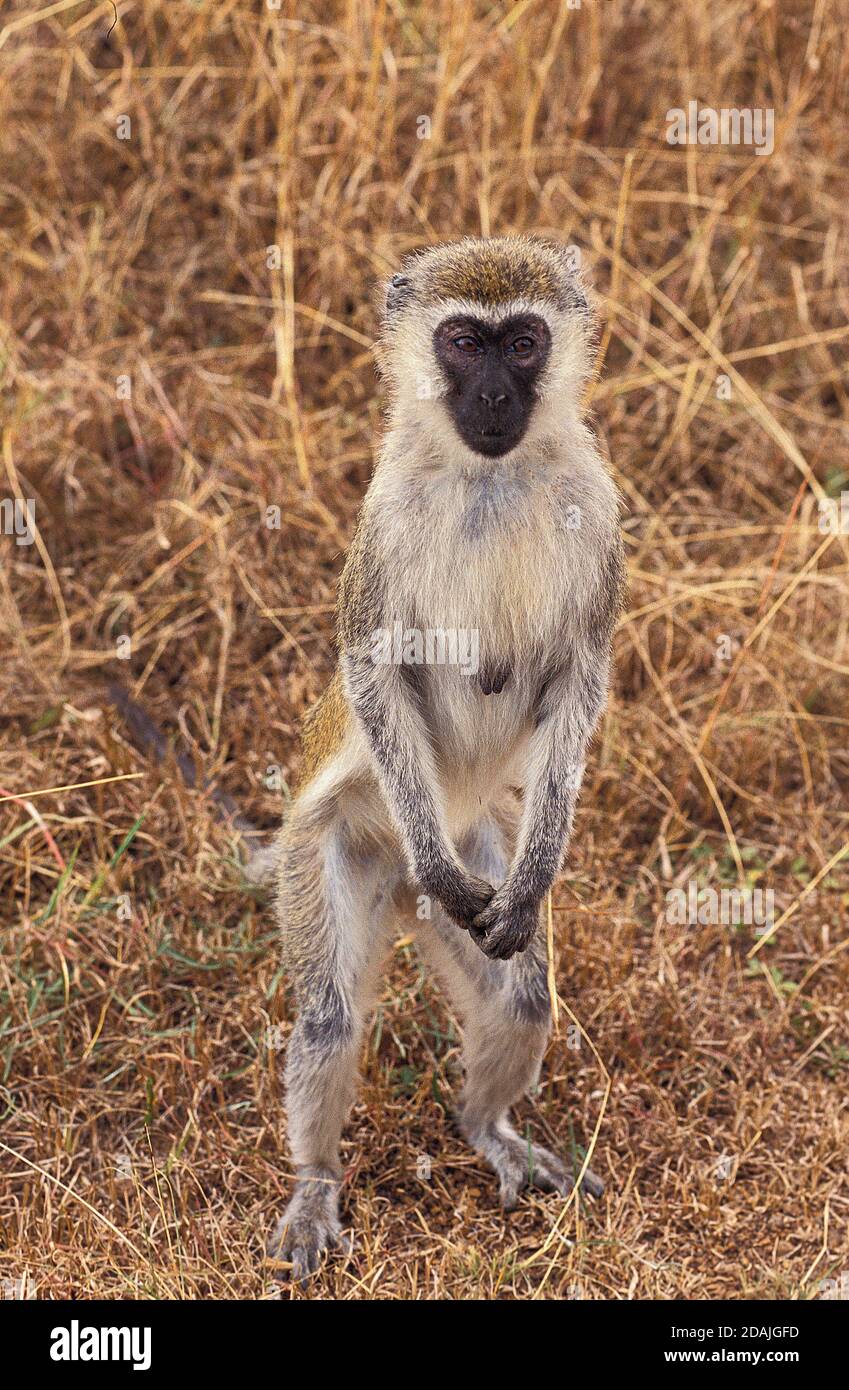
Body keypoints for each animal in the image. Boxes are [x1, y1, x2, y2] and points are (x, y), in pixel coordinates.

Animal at [261, 235, 627, 1282]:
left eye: (523, 341)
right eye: (464, 341)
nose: (497, 395)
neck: (489, 476)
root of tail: (399, 894)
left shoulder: (599, 507)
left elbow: (578, 677)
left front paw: (543, 868)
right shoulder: (384, 520)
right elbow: (376, 671)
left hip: (478, 868)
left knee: (522, 995)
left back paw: (486, 1127)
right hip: (335, 851)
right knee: (330, 1017)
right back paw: (316, 1183)